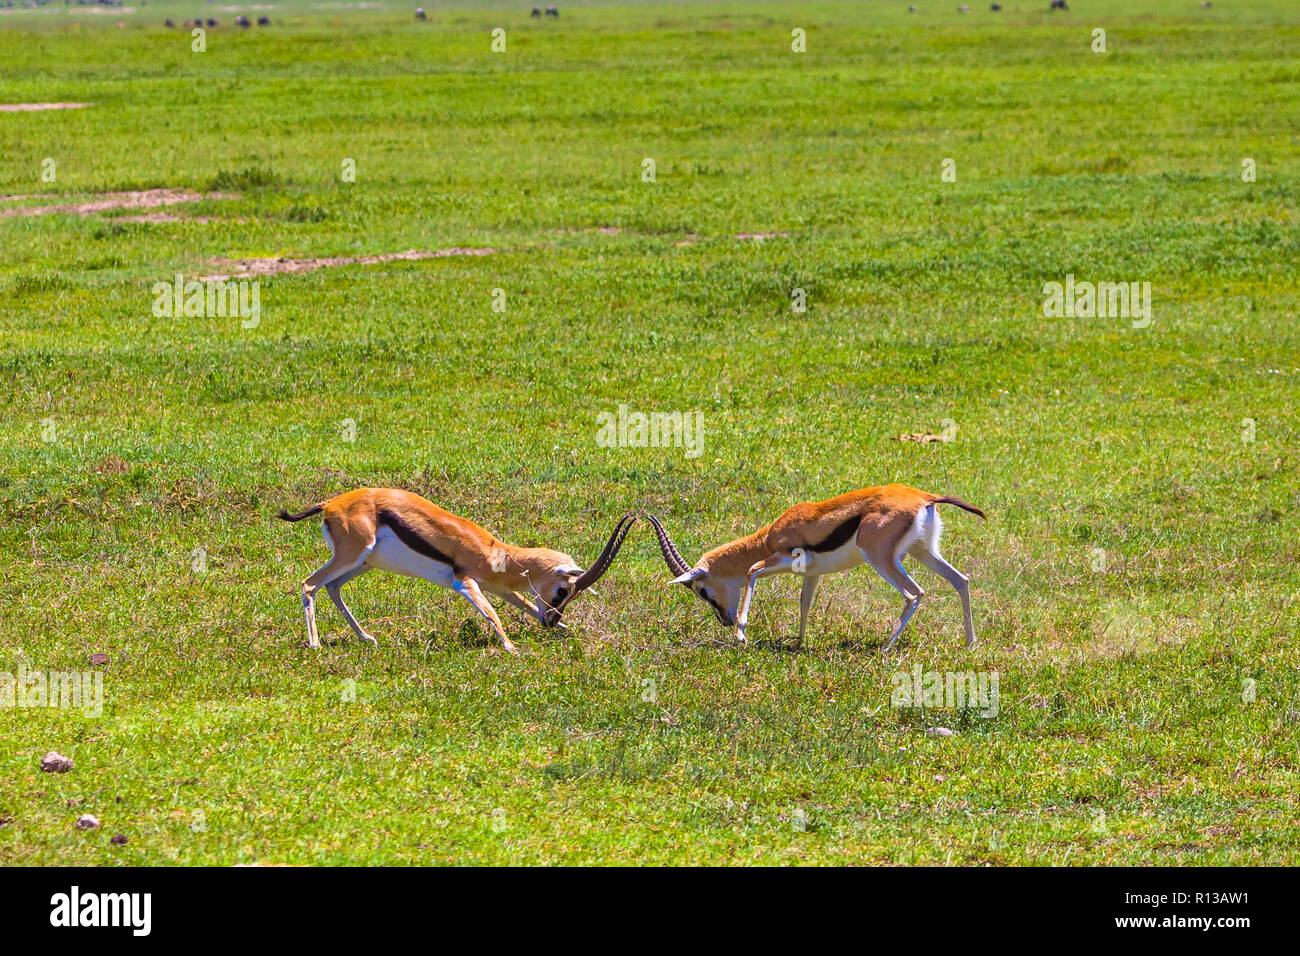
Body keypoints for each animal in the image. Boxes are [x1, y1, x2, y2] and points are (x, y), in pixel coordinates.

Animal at [277, 488, 636, 654]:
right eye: (562, 591)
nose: (552, 620)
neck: (498, 554)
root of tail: (331, 503)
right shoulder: (464, 582)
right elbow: (493, 614)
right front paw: (511, 647)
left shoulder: (498, 587)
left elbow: (522, 604)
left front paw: (567, 630)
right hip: (353, 555)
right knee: (309, 585)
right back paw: (315, 644)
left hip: (363, 563)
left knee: (332, 587)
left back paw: (366, 637)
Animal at [647, 485, 985, 651]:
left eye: (702, 591)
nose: (725, 621)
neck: (771, 535)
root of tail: (924, 497)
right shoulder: (813, 574)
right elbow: (804, 602)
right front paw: (799, 643)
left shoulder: (784, 559)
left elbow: (751, 570)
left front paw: (742, 636)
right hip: (923, 551)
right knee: (961, 580)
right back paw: (969, 644)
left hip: (882, 559)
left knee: (914, 593)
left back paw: (885, 649)